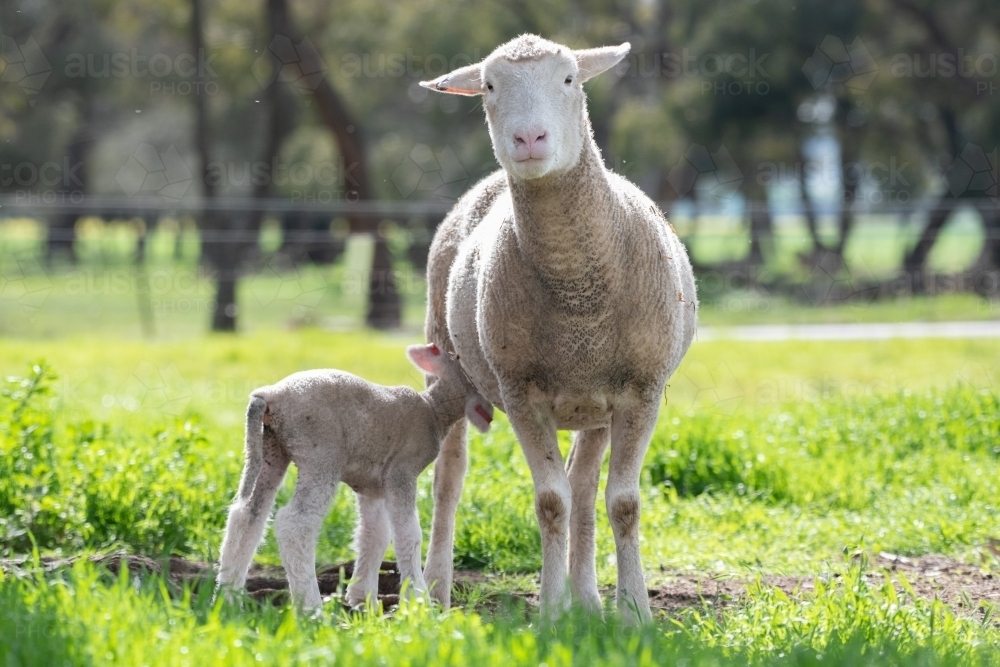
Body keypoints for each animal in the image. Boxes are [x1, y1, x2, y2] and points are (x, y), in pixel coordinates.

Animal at [215, 344, 494, 611]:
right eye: (462, 361)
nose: (490, 409)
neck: (434, 410)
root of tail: (270, 394)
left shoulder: (373, 486)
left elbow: (374, 535)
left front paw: (364, 600)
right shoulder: (401, 471)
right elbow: (409, 535)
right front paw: (418, 601)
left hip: (271, 448)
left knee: (246, 515)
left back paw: (227, 600)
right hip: (320, 454)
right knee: (294, 524)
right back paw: (311, 608)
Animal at [418, 34, 698, 622]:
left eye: (569, 78)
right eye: (489, 86)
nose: (529, 138)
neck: (577, 293)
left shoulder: (642, 390)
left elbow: (622, 503)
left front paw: (634, 614)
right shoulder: (521, 391)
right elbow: (550, 502)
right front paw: (549, 613)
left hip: (595, 404)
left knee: (586, 488)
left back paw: (588, 601)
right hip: (446, 359)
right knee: (449, 479)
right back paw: (433, 591)